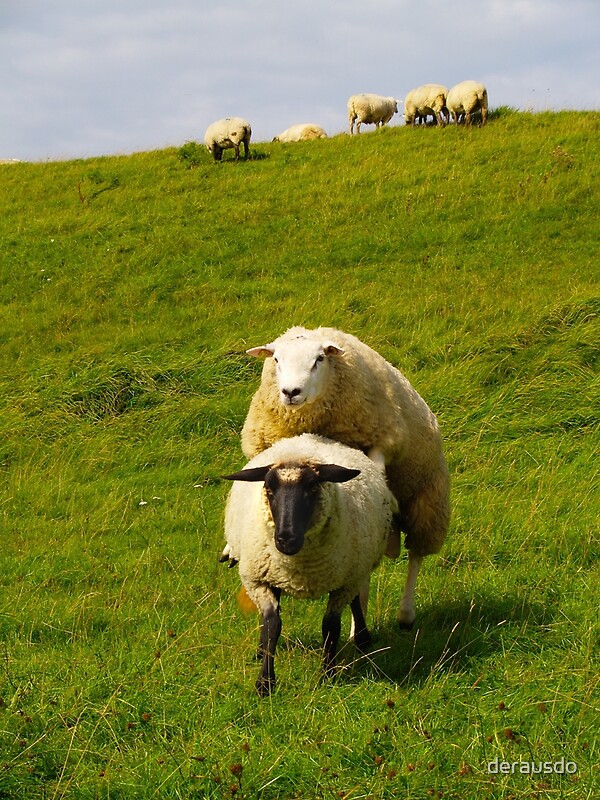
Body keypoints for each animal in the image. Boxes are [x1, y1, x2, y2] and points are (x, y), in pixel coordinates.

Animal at [221, 433, 397, 696]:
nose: (285, 539)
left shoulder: (344, 582)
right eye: (268, 489)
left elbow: (330, 626)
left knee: (356, 599)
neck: (300, 568)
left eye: (312, 487)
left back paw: (363, 639)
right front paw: (265, 682)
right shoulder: (259, 580)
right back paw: (260, 651)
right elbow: (272, 624)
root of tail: (305, 438)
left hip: (355, 568)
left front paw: (328, 674)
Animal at [241, 326, 451, 629]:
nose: (291, 392)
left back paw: (405, 614)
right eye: (276, 360)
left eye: (319, 359)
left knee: (415, 555)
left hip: (427, 500)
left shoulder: (383, 440)